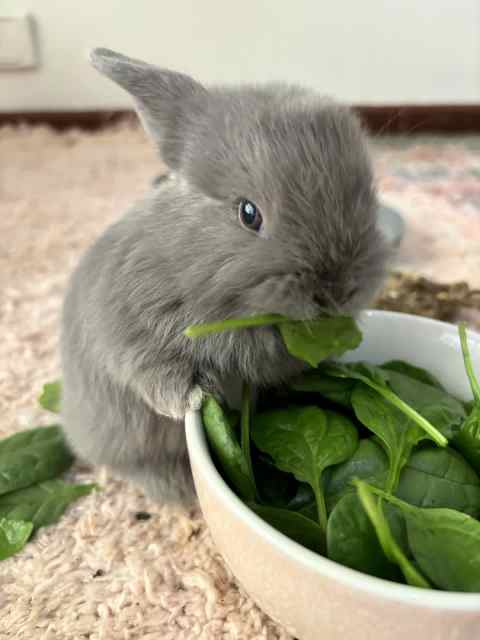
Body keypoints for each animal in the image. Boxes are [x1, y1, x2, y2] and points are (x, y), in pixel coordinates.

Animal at [60, 48, 390, 505]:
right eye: (249, 213)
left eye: (369, 198)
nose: (338, 292)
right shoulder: (128, 333)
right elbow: (152, 368)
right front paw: (194, 396)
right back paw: (181, 490)